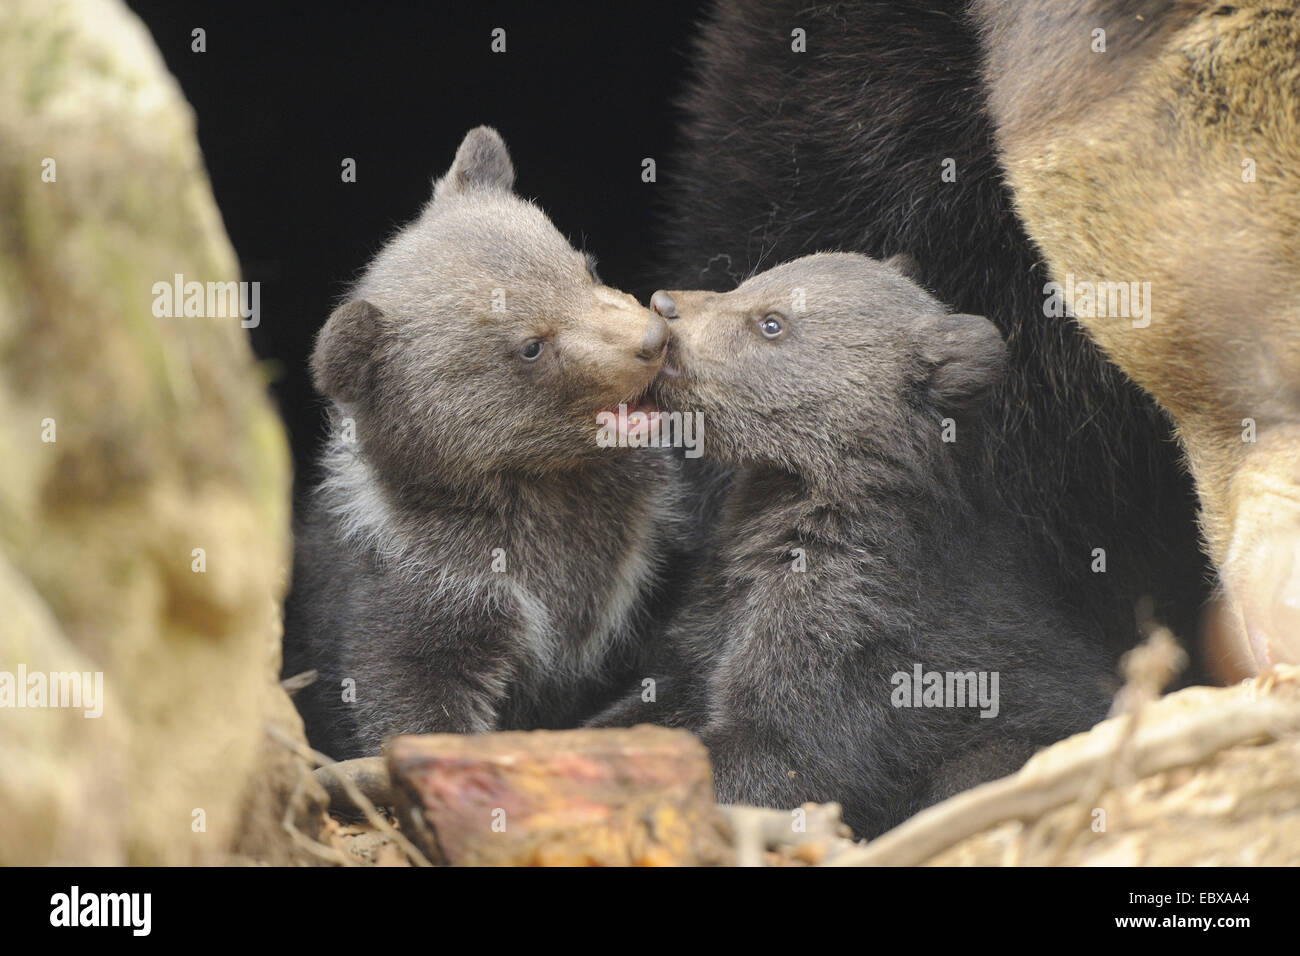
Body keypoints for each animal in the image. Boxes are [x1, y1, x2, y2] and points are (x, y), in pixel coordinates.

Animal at [281, 127, 681, 761]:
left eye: (585, 266)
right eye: (532, 346)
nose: (652, 338)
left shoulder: (641, 556)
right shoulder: (436, 583)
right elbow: (406, 687)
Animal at [592, 252, 1116, 839]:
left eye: (772, 323)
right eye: (747, 281)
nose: (665, 303)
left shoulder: (855, 637)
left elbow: (784, 756)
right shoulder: (715, 608)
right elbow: (658, 693)